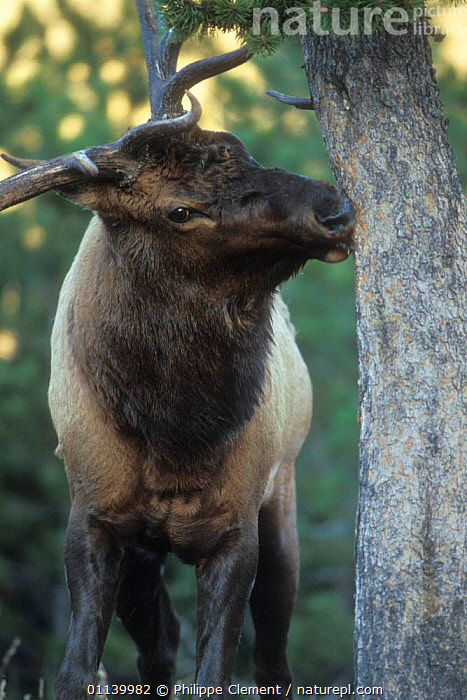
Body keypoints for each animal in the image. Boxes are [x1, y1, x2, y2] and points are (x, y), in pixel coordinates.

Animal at [0, 2, 355, 698]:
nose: (335, 209)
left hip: (283, 494)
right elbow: (77, 671)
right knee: (161, 643)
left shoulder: (236, 528)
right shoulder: (95, 518)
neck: (174, 436)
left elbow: (218, 670)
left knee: (273, 660)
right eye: (181, 209)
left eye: (239, 150)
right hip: (149, 552)